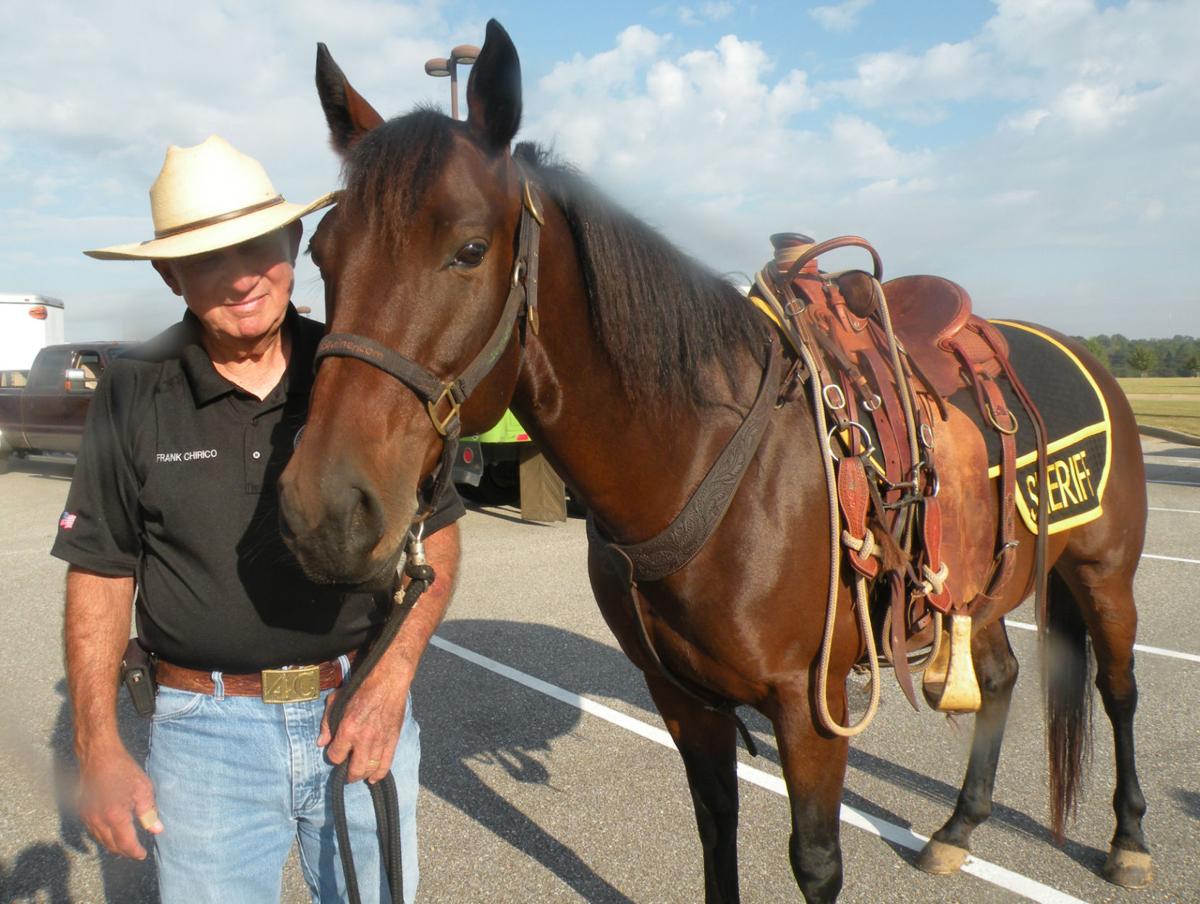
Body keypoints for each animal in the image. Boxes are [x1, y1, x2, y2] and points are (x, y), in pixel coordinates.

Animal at [278, 21, 1152, 902]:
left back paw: (1129, 839)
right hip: (979, 588)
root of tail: (1087, 357)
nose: (325, 512)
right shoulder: (682, 698)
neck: (706, 466)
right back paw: (959, 827)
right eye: (321, 253)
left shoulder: (810, 707)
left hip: (1104, 574)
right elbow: (714, 829)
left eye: (468, 248)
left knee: (1118, 688)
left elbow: (816, 861)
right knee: (1000, 677)